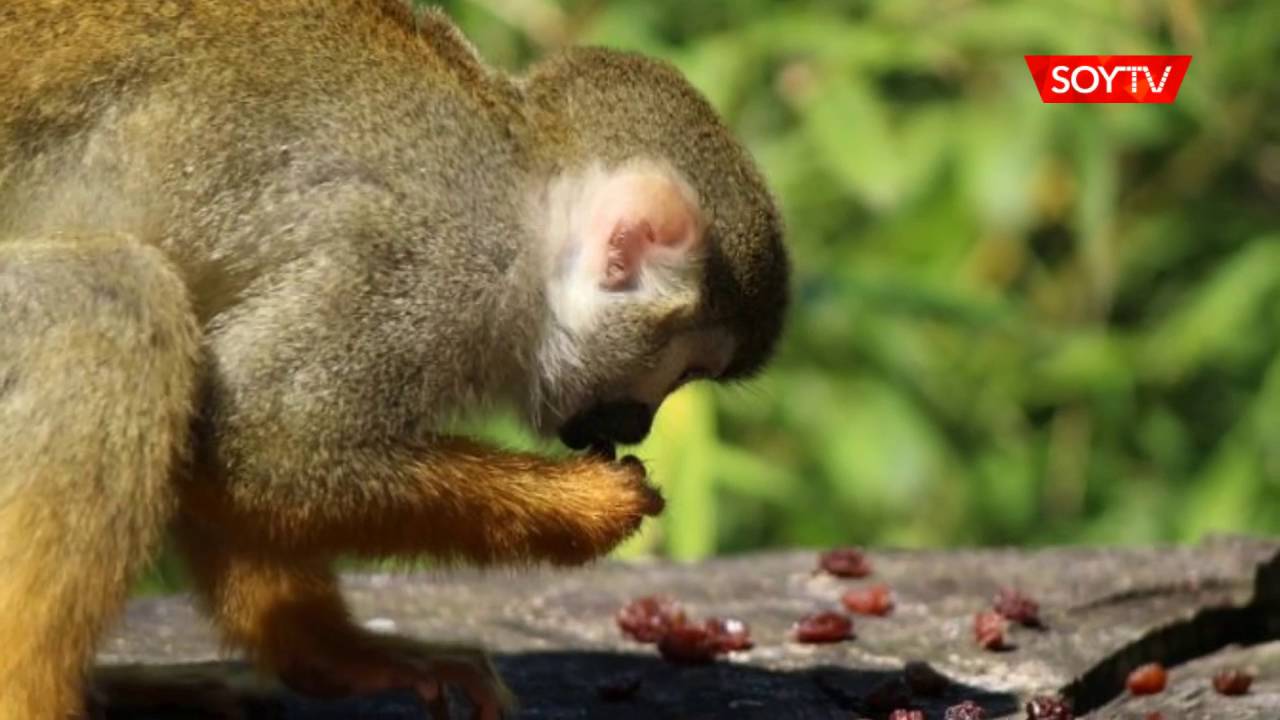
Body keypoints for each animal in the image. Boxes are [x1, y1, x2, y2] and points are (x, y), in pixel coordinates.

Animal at [0, 1, 788, 718]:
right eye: (684, 371)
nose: (638, 426)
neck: (521, 194)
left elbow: (225, 447)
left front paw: (335, 654)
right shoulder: (421, 267)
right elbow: (266, 439)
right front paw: (590, 505)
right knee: (119, 301)